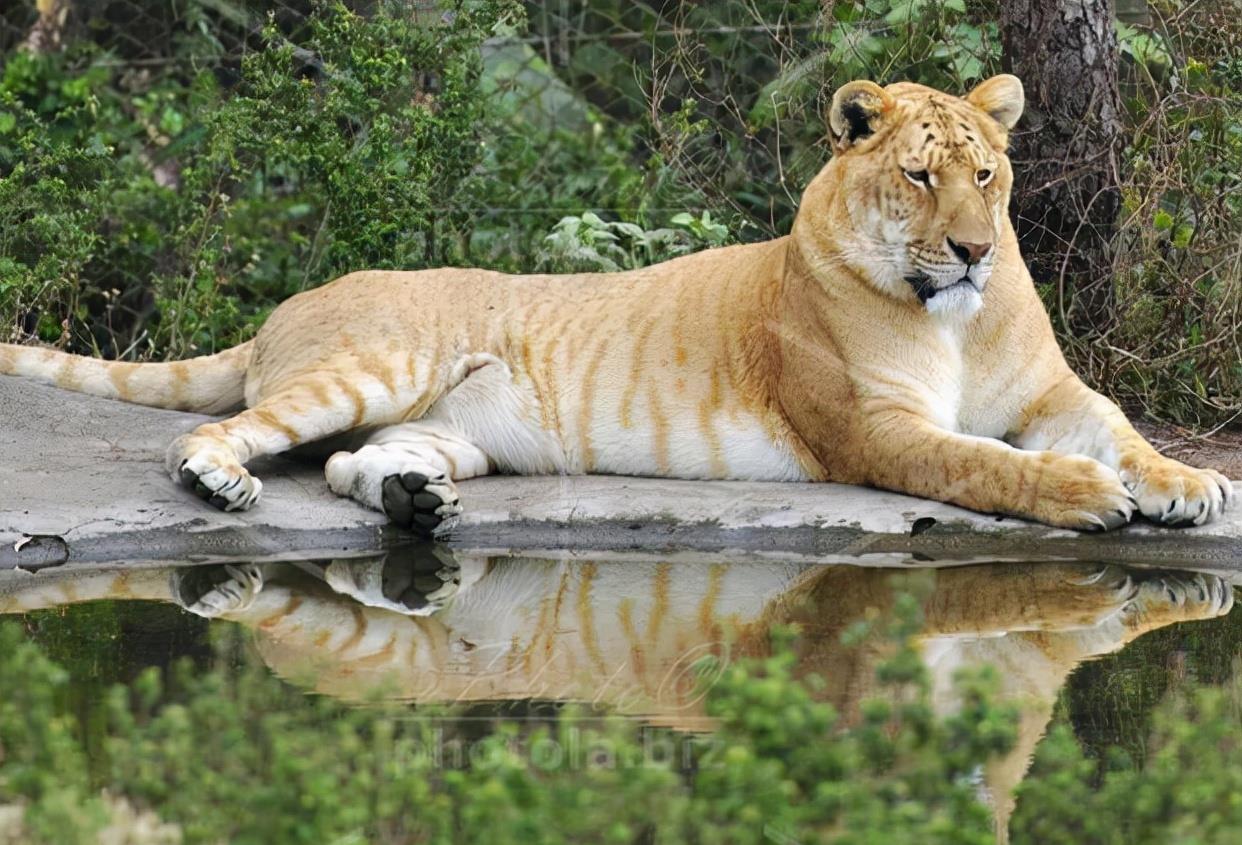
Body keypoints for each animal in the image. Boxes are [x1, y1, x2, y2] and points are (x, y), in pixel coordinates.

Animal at [0, 74, 1232, 532]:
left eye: (987, 173)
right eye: (922, 178)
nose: (975, 251)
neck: (959, 319)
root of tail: (283, 308)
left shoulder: (1051, 393)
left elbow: (1121, 426)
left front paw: (1186, 483)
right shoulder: (873, 428)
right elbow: (982, 462)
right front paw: (1088, 494)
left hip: (449, 430)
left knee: (355, 463)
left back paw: (412, 500)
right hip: (373, 363)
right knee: (226, 433)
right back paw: (220, 479)